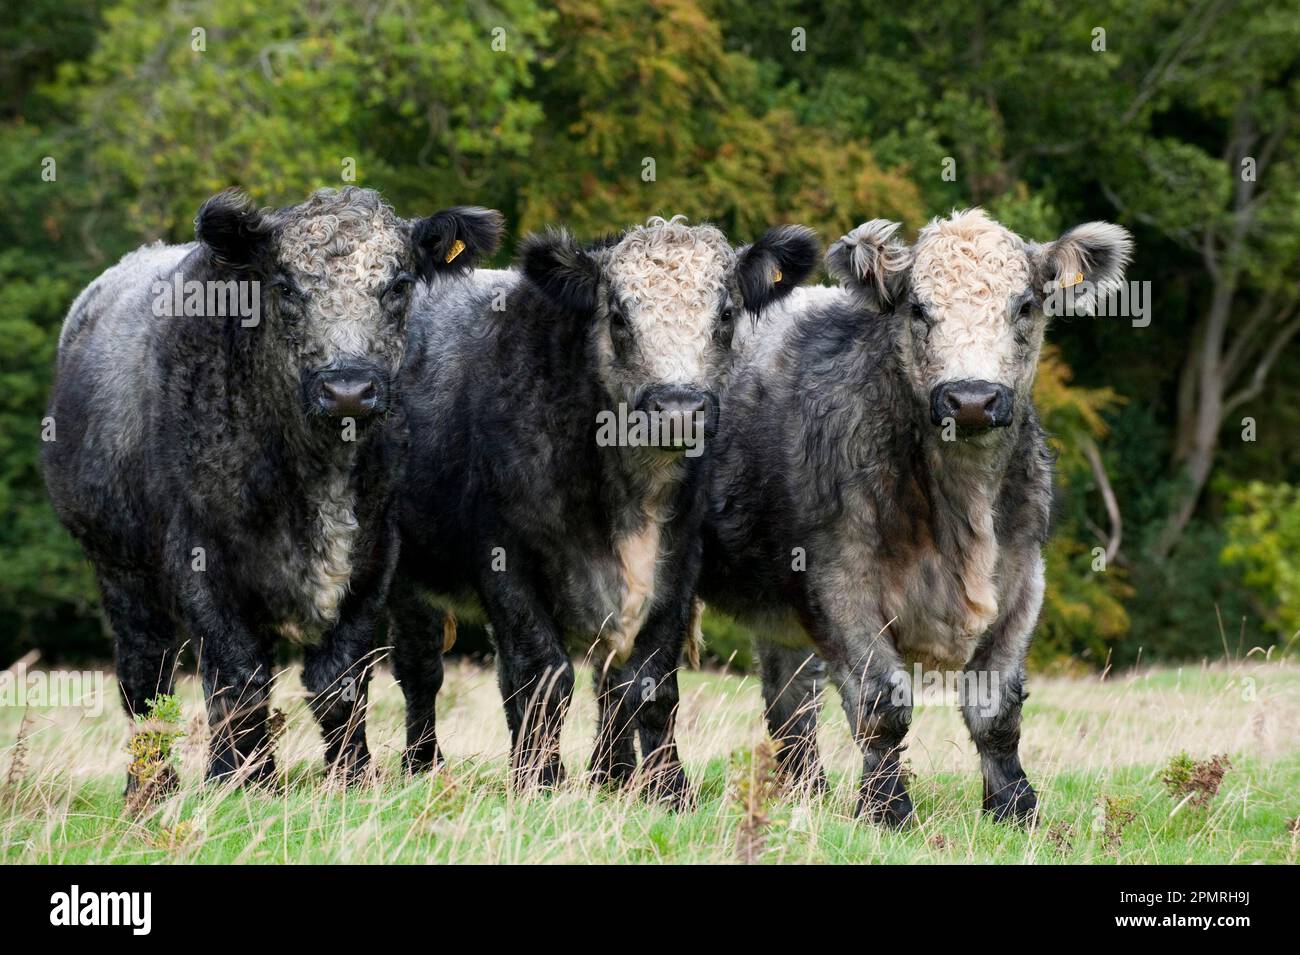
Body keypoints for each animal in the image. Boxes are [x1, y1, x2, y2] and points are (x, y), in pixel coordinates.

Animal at [43, 186, 503, 792]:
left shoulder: (375, 555)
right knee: (145, 675)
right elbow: (234, 679)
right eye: (284, 287)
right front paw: (232, 783)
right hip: (118, 565)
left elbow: (338, 680)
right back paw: (153, 786)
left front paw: (351, 778)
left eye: (399, 285)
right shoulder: (199, 555)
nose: (348, 388)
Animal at [388, 215, 819, 805]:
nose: (677, 409)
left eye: (726, 315)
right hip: (406, 574)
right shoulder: (504, 559)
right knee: (421, 667)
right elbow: (542, 676)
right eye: (618, 317)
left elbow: (651, 684)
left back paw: (609, 776)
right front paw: (540, 783)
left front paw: (666, 791)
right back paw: (421, 765)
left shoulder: (678, 562)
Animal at [699, 209, 1132, 825]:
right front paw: (886, 810)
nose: (971, 399)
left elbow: (997, 710)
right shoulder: (840, 583)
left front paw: (1015, 808)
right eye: (919, 308)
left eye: (1025, 305)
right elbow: (882, 705)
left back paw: (808, 794)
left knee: (789, 699)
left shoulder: (1024, 581)